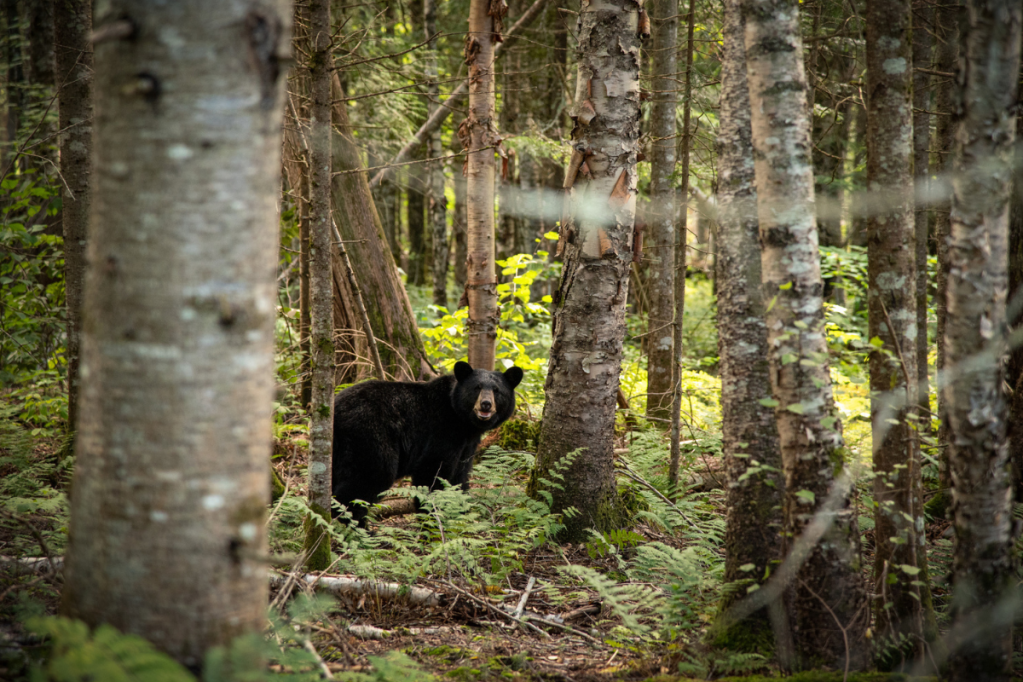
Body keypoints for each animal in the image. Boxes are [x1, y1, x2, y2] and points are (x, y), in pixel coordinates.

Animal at [331, 360, 523, 526]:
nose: (486, 404)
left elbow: (460, 475)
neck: (463, 421)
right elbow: (433, 471)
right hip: (370, 435)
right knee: (370, 477)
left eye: (497, 390)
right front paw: (433, 518)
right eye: (477, 388)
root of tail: (336, 408)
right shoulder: (442, 430)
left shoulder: (467, 445)